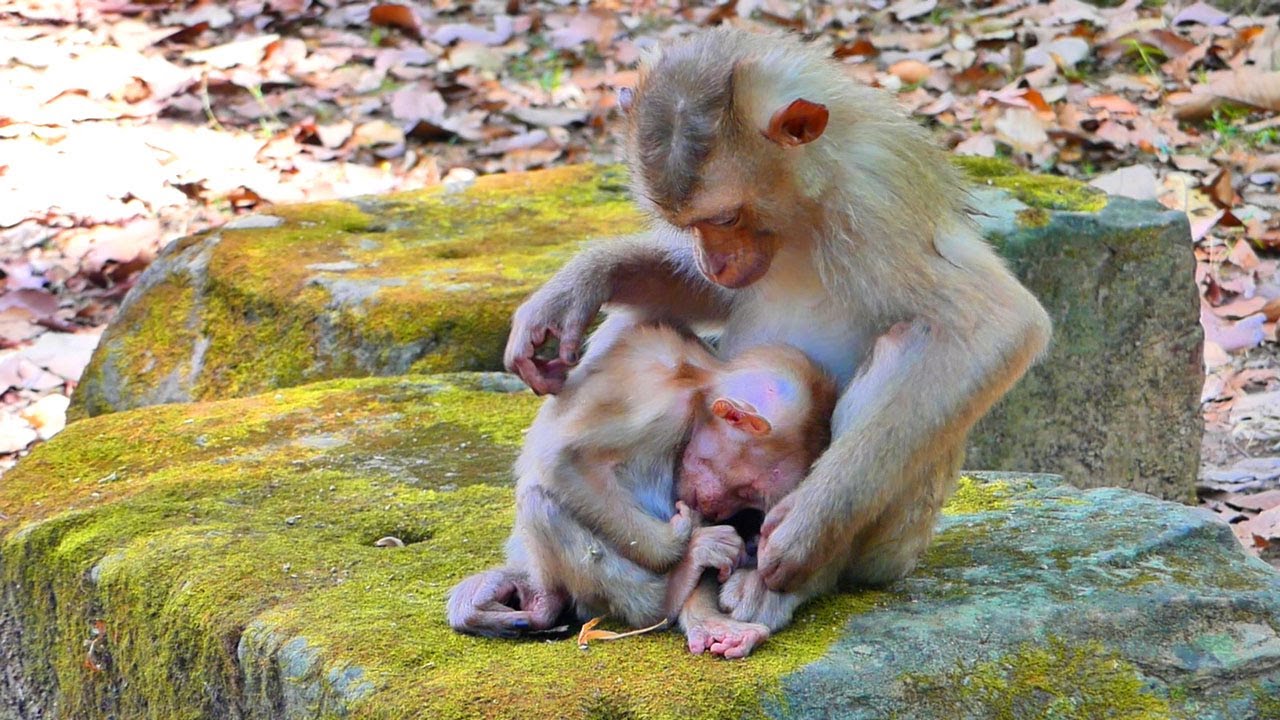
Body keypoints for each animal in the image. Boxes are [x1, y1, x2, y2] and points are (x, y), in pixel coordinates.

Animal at [448, 320, 836, 657]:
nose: (721, 511)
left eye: (749, 500)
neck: (699, 382)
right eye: (746, 490)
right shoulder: (663, 407)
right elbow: (564, 462)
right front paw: (677, 541)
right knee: (541, 503)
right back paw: (665, 596)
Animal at [500, 27, 1053, 634]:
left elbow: (999, 323)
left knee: (910, 343)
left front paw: (809, 528)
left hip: (896, 543)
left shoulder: (877, 199)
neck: (806, 204)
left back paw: (778, 584)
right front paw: (580, 285)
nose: (713, 259)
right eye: (684, 225)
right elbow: (707, 297)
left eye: (723, 218)